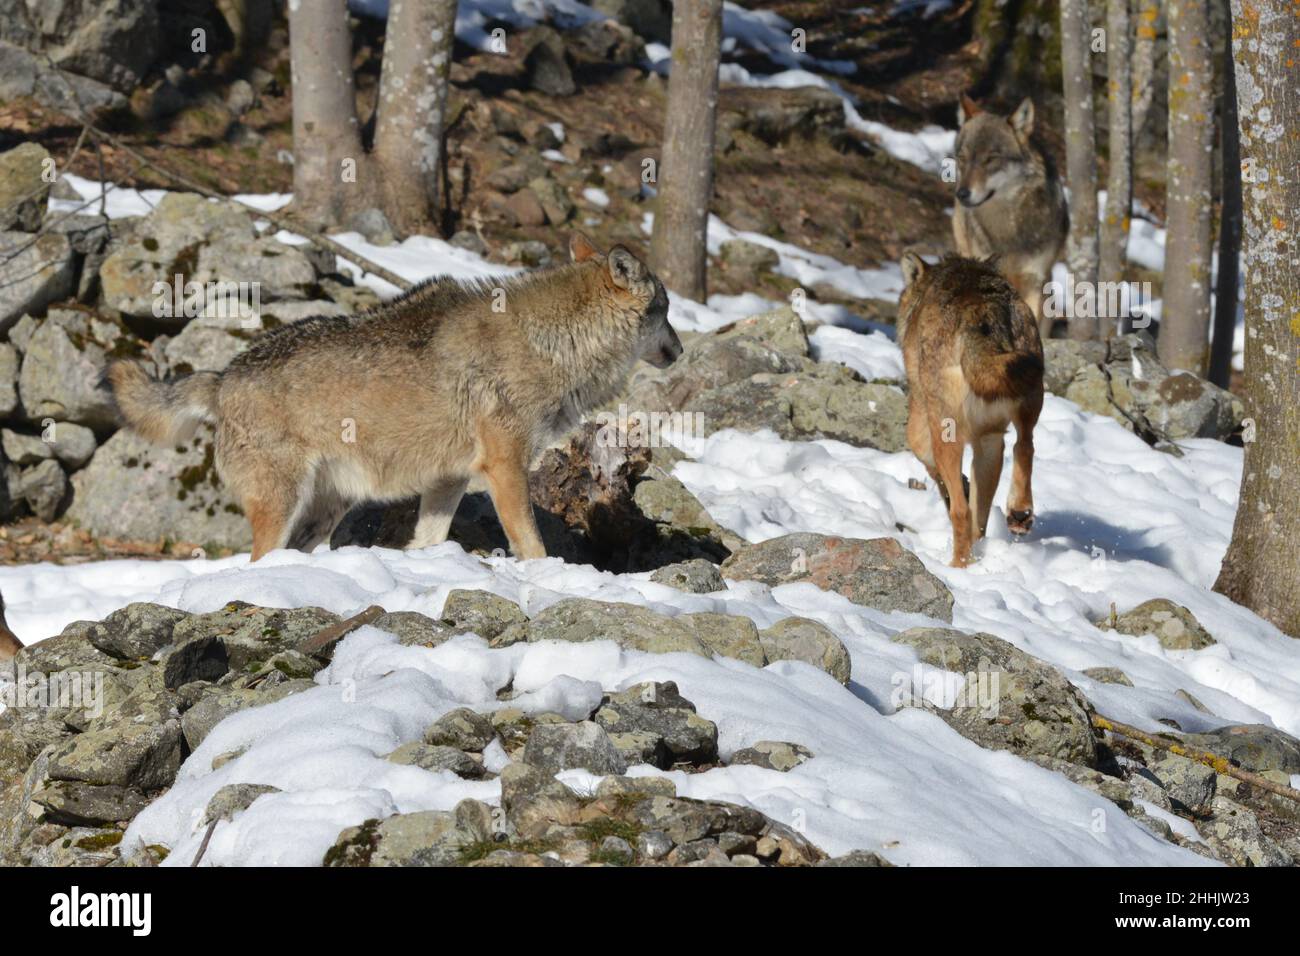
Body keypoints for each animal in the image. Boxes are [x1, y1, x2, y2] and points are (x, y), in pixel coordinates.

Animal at [106, 234, 682, 562]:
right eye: (667, 310)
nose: (678, 350)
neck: (552, 343)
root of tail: (222, 377)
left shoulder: (449, 479)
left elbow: (426, 542)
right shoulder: (505, 468)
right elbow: (534, 547)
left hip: (327, 507)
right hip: (283, 502)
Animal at [897, 253, 1044, 567]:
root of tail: (982, 310)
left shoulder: (920, 422)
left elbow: (930, 464)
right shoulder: (988, 437)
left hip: (947, 431)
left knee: (961, 511)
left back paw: (958, 567)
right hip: (1020, 408)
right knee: (1024, 447)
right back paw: (1019, 514)